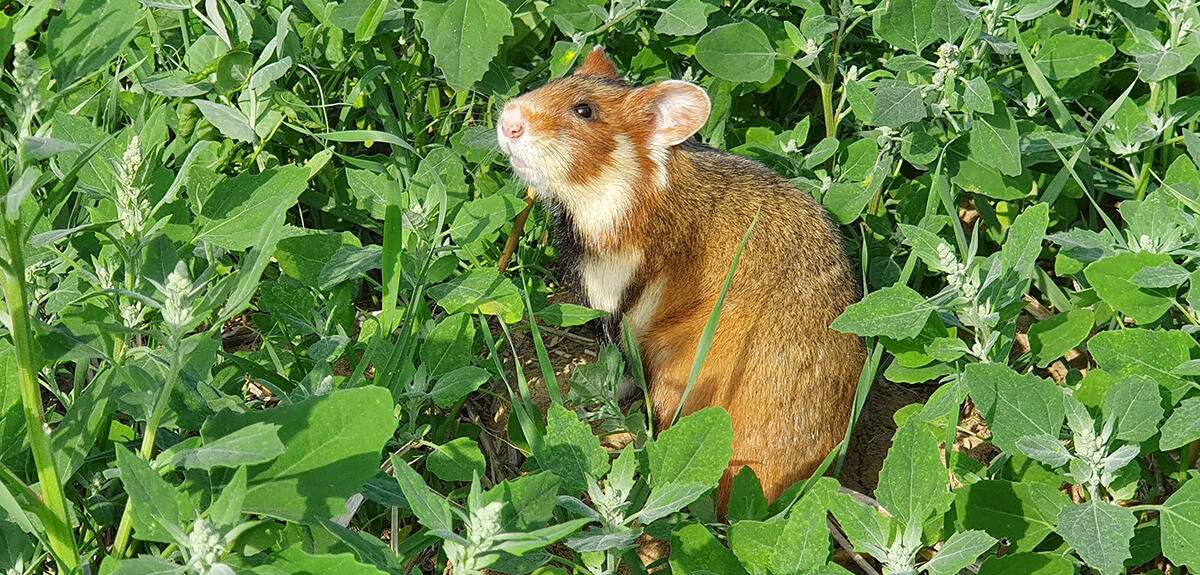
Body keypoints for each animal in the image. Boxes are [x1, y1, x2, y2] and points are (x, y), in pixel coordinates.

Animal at [497, 46, 866, 509]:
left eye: (584, 110)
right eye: (553, 82)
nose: (507, 121)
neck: (625, 189)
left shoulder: (616, 304)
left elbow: (620, 367)